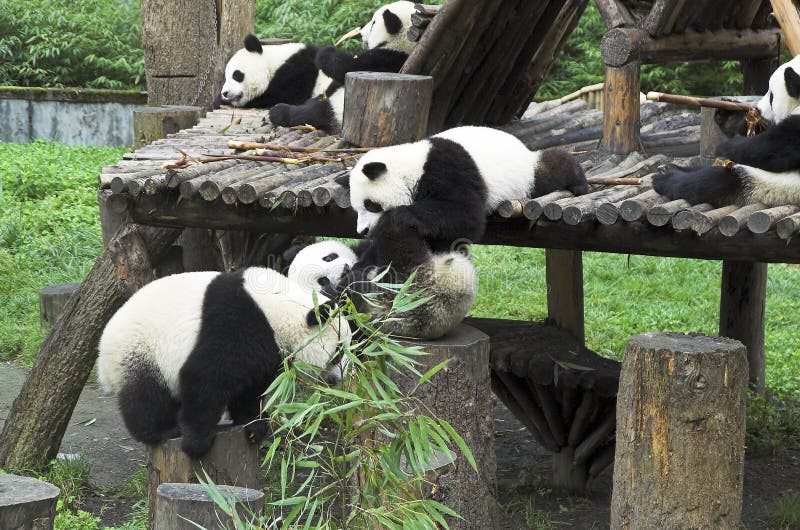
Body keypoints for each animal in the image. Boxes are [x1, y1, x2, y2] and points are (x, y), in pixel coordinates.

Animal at [97, 267, 349, 458]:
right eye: (338, 353)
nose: (340, 379)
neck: (278, 308)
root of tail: (103, 357)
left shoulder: (266, 348)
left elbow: (251, 387)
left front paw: (254, 427)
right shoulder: (235, 322)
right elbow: (204, 377)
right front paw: (196, 443)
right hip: (139, 350)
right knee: (146, 395)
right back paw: (163, 430)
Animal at [268, 1, 418, 132]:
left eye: (373, 23)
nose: (361, 33)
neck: (404, 45)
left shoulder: (388, 60)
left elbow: (348, 67)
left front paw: (326, 51)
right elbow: (339, 79)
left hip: (340, 110)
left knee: (312, 113)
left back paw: (278, 111)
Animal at [339, 125, 588, 251]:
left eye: (371, 205)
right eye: (356, 208)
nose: (362, 231)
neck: (410, 167)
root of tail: (521, 145)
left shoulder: (446, 170)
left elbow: (464, 214)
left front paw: (393, 221)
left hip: (525, 176)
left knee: (551, 169)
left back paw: (579, 183)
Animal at [653, 55, 800, 207]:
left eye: (771, 96)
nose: (759, 109)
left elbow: (770, 151)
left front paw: (726, 146)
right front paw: (728, 116)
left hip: (768, 186)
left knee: (712, 181)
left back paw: (665, 177)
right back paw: (668, 167)